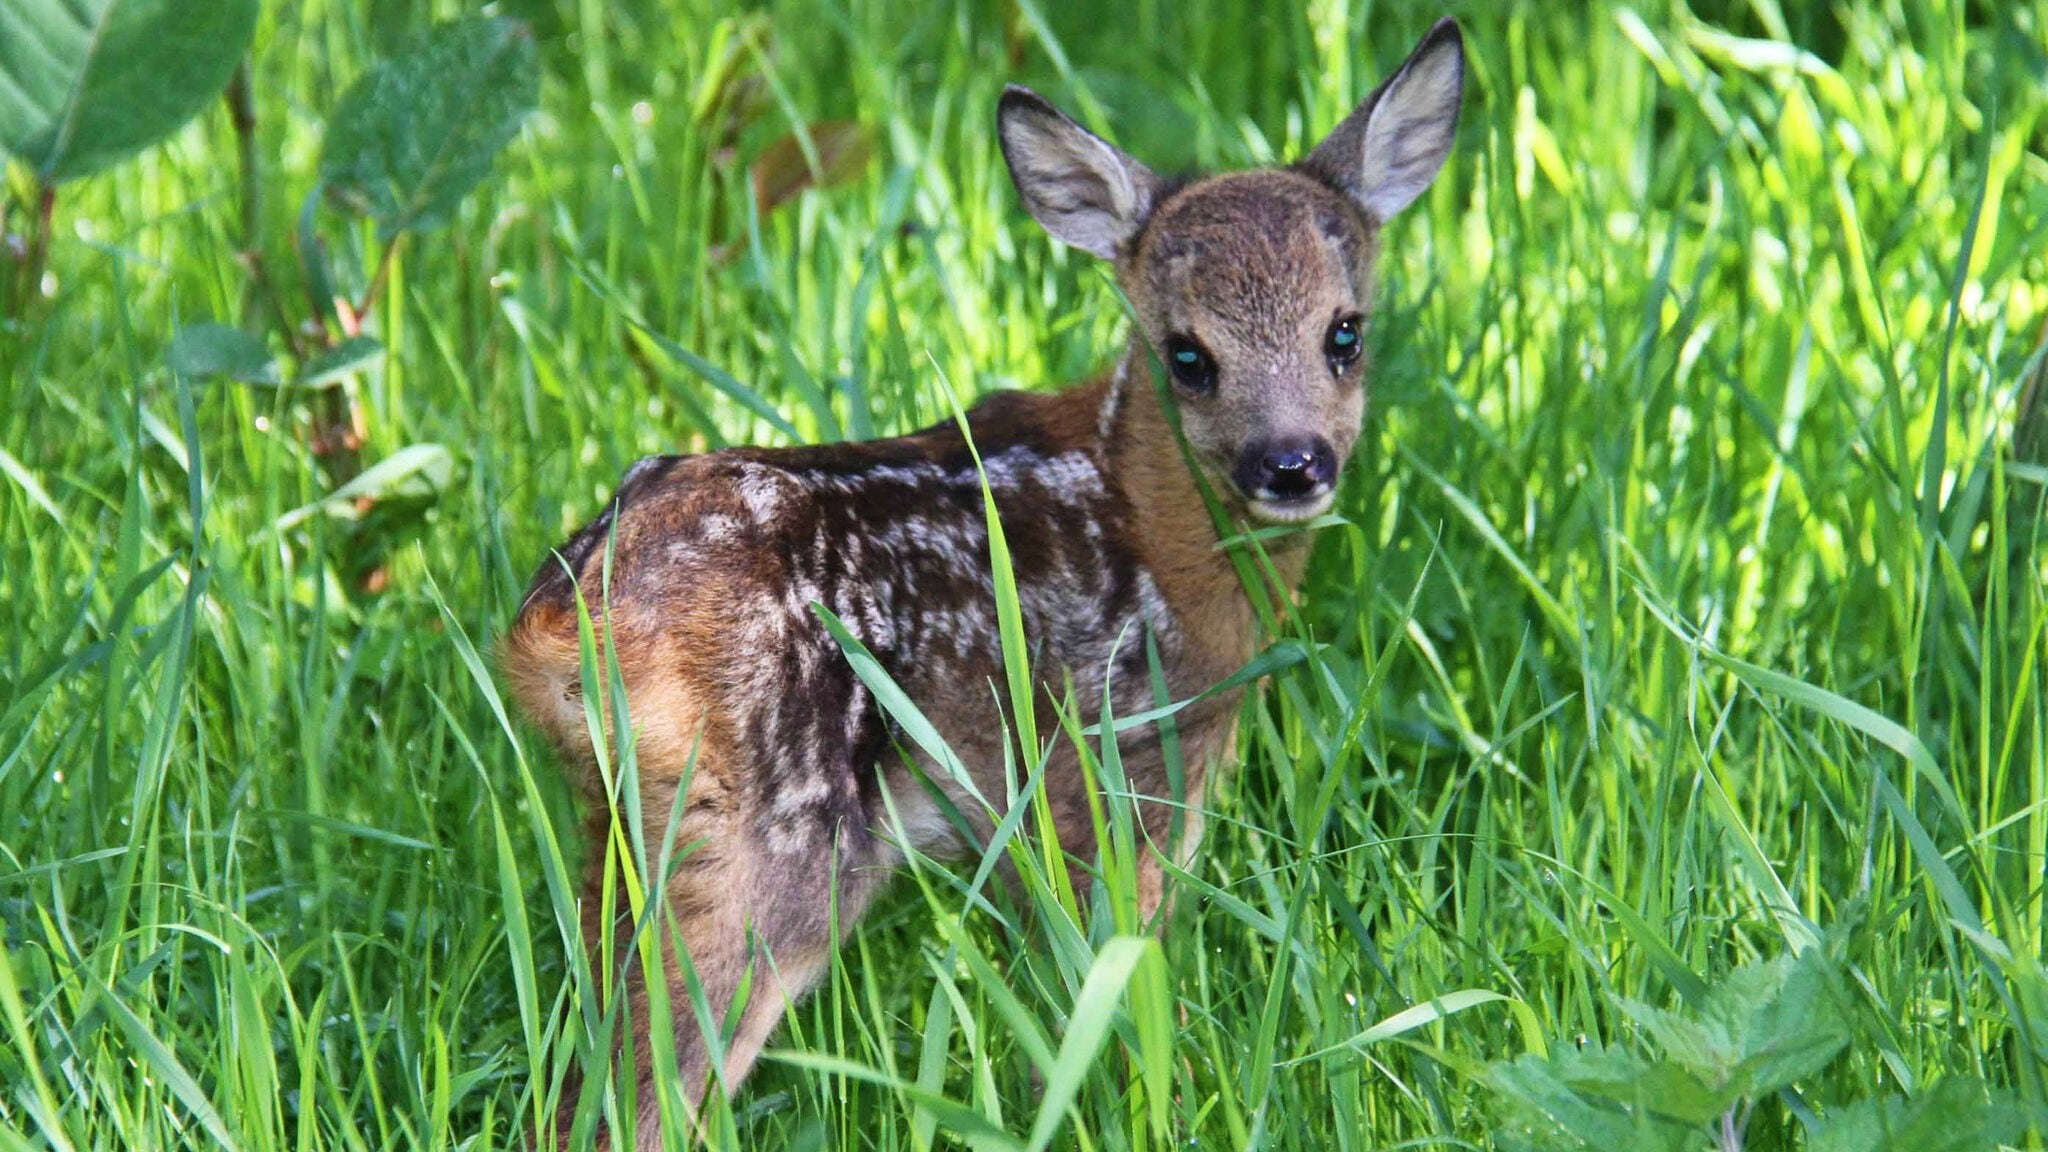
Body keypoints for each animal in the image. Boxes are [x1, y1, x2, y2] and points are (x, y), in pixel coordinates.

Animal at [504, 17, 1463, 1146]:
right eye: (1188, 356)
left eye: (1344, 333)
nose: (1291, 463)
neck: (1150, 530)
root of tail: (566, 613)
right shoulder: (1113, 766)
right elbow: (1111, 986)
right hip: (774, 833)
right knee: (642, 1091)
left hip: (615, 828)